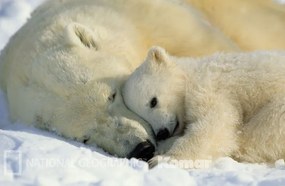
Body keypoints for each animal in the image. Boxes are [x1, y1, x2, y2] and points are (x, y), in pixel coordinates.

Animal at [122, 45, 285, 166]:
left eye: (153, 101)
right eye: (144, 118)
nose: (162, 133)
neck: (191, 74)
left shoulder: (208, 86)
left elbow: (214, 123)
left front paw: (163, 159)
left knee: (265, 128)